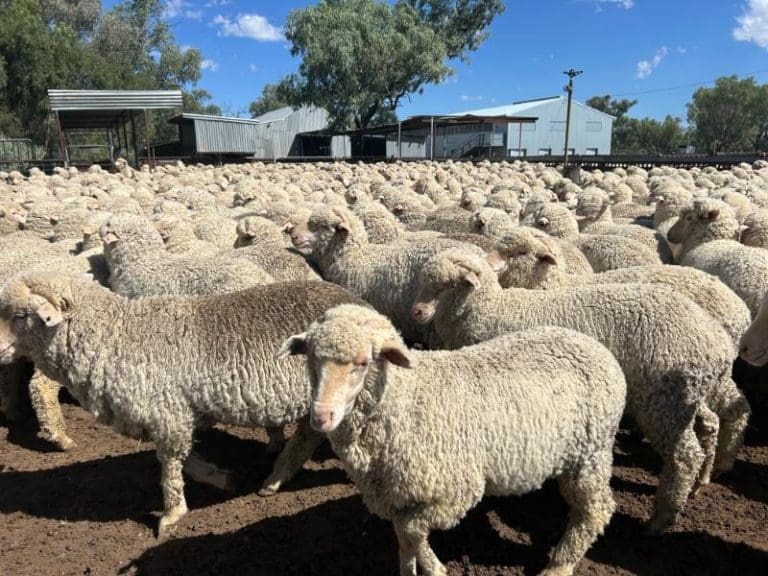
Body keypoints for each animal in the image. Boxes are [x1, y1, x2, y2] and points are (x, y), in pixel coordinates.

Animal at [0, 273, 363, 535]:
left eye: (20, 315)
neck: (117, 335)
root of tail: (357, 302)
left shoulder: (168, 413)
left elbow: (170, 464)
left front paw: (172, 513)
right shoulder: (176, 415)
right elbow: (185, 460)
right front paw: (220, 477)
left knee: (311, 436)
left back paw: (279, 477)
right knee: (308, 434)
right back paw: (277, 475)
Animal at [277, 304, 625, 576]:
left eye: (363, 363)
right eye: (310, 358)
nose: (321, 417)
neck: (408, 398)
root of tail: (594, 347)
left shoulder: (455, 491)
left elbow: (412, 530)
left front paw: (435, 569)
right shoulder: (395, 493)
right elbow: (403, 534)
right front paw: (409, 569)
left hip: (590, 454)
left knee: (595, 510)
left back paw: (559, 564)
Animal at [412, 247, 749, 532]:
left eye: (447, 285)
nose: (416, 312)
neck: (489, 309)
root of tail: (718, 343)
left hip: (664, 403)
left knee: (684, 454)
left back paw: (662, 517)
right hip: (691, 394)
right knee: (717, 420)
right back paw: (704, 479)